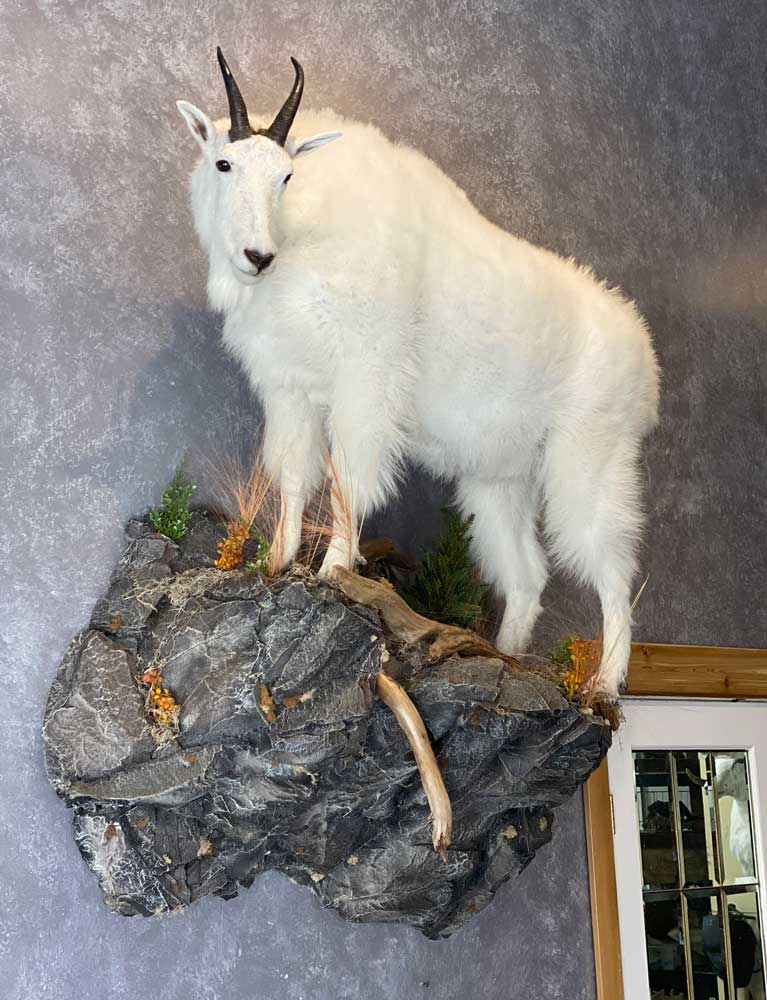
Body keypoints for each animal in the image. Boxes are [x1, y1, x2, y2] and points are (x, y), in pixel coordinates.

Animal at [177, 49, 660, 698]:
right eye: (223, 162)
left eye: (286, 177)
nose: (258, 256)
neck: (302, 240)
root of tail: (643, 355)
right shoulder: (290, 389)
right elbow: (294, 477)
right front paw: (276, 566)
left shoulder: (364, 381)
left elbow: (349, 478)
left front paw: (334, 572)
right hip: (500, 479)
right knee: (527, 575)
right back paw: (504, 657)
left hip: (592, 459)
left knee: (612, 570)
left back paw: (605, 685)